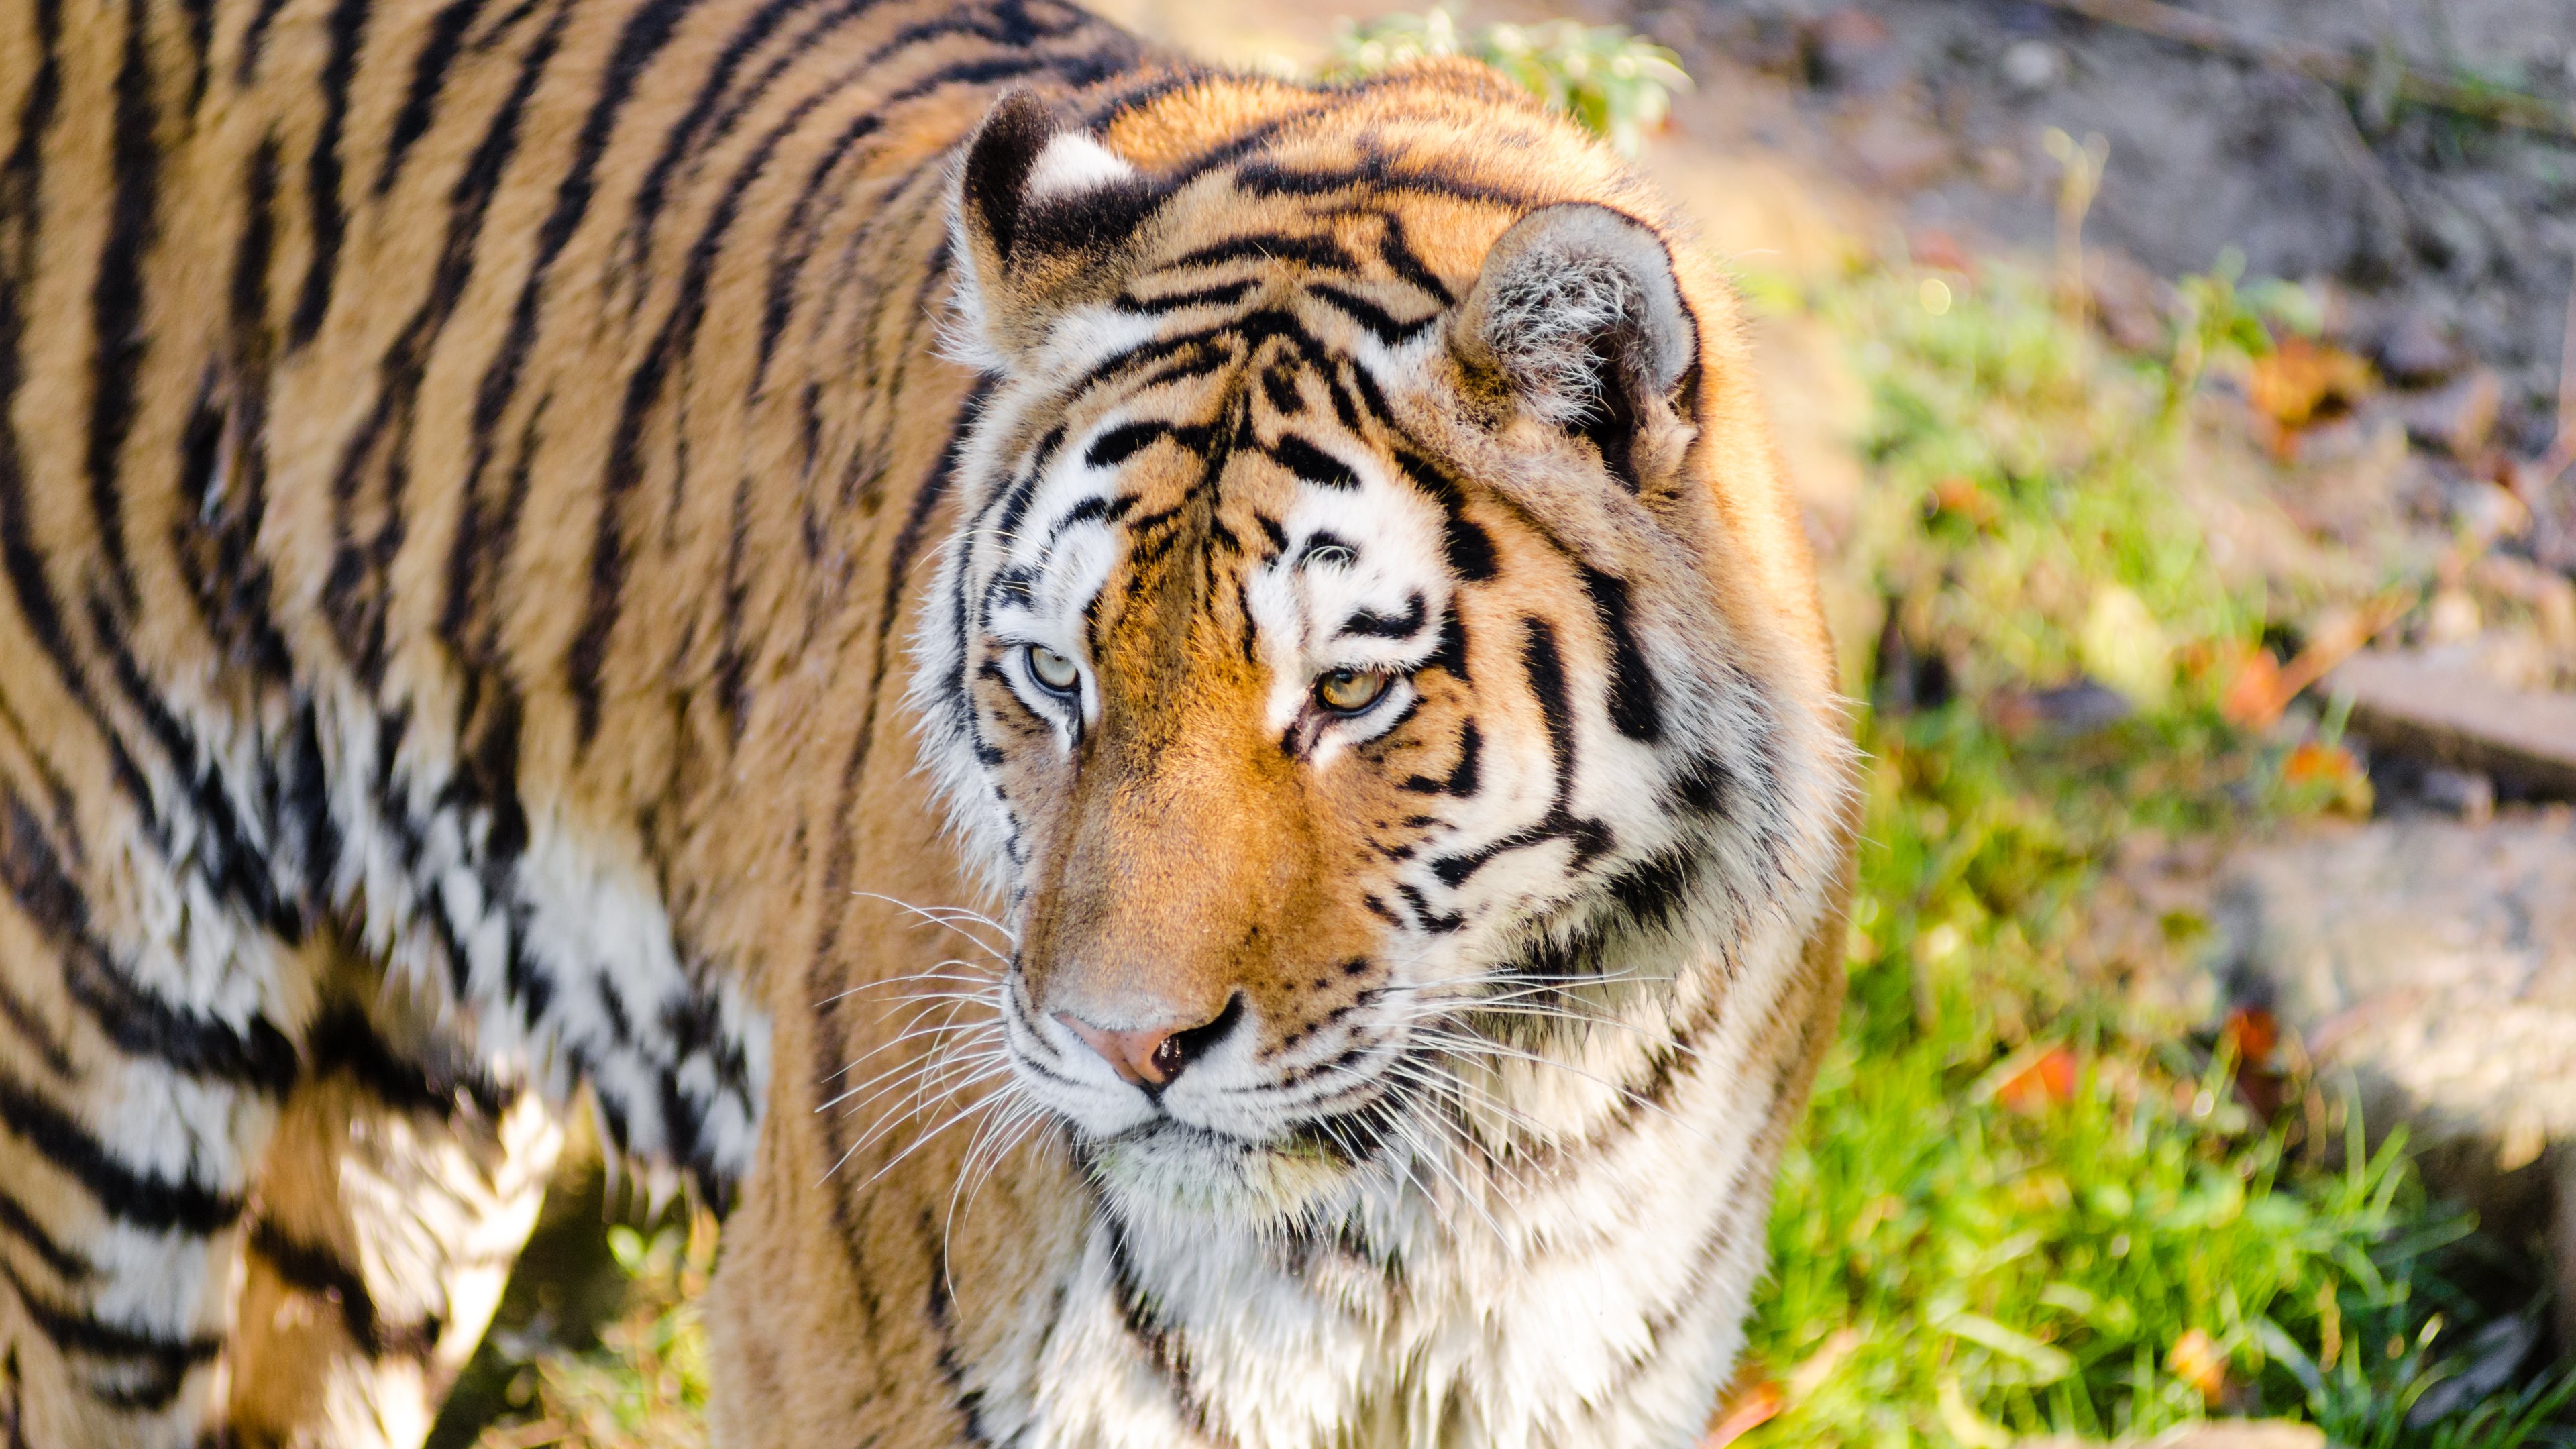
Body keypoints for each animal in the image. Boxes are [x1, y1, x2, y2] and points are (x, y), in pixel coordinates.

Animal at [0, 0, 1859, 1440]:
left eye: (1345, 691)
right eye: (1054, 676)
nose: (1124, 1053)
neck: (1476, 1173)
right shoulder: (838, 1355)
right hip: (104, 1048)